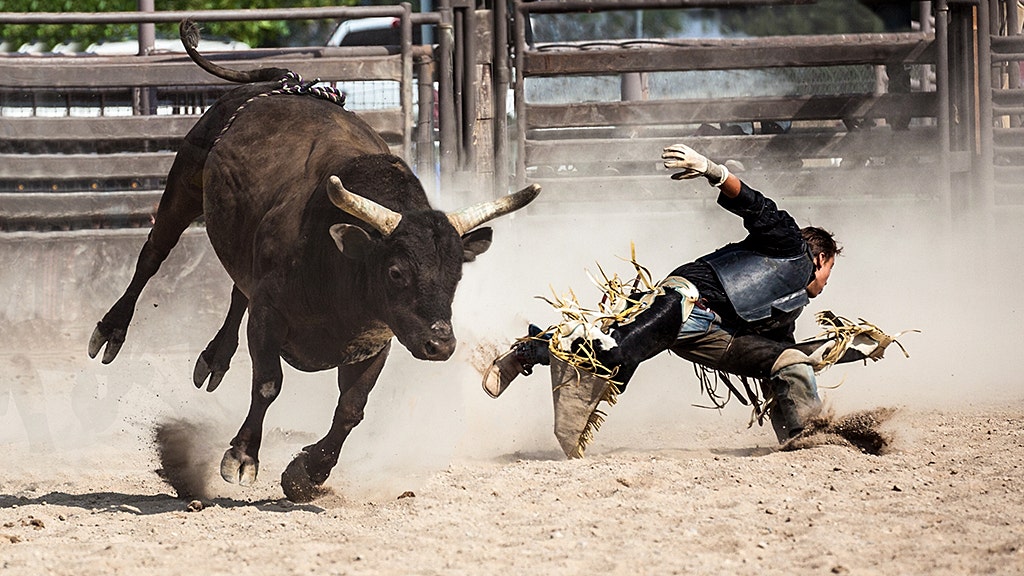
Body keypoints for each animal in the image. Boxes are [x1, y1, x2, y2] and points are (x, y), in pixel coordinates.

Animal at [88, 19, 540, 502]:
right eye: (396, 271)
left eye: (456, 277)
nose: (441, 345)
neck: (338, 264)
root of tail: (286, 82)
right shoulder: (269, 317)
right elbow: (268, 383)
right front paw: (243, 456)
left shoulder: (375, 341)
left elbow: (351, 409)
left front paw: (308, 472)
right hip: (185, 184)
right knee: (153, 255)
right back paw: (111, 330)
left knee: (238, 289)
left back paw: (214, 359)